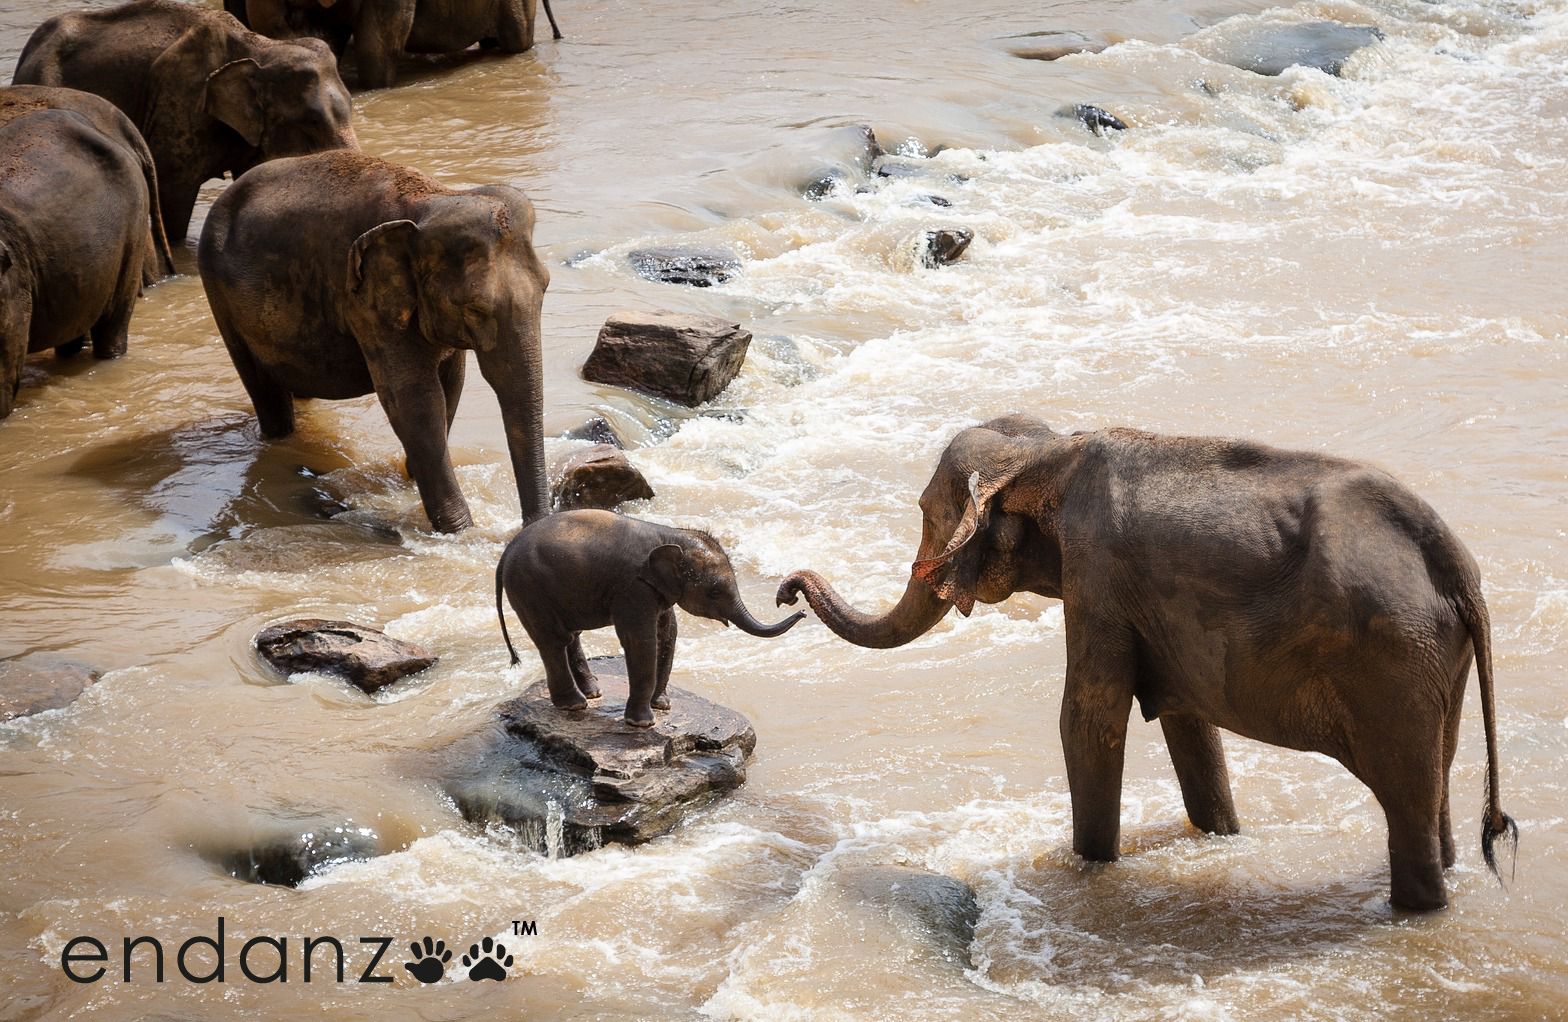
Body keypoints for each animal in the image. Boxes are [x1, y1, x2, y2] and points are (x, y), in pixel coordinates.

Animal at [197, 149, 550, 533]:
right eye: (475, 307)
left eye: (546, 286)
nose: (529, 527)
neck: (432, 200)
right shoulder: (365, 299)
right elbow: (414, 400)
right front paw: (459, 531)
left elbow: (451, 386)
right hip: (219, 296)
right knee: (265, 393)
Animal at [495, 509, 804, 726]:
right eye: (714, 592)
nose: (797, 605)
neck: (671, 535)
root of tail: (506, 553)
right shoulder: (634, 588)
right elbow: (640, 641)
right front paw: (642, 723)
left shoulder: (657, 589)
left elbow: (667, 633)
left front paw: (662, 706)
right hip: (529, 588)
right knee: (553, 640)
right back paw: (574, 705)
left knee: (569, 636)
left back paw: (592, 693)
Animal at [776, 414, 1517, 912]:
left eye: (928, 513)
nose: (786, 591)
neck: (1049, 451)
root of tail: (1456, 566)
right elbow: (1190, 725)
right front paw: (1221, 835)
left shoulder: (1097, 578)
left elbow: (1087, 719)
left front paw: (1089, 869)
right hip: (1432, 663)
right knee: (1436, 780)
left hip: (1394, 661)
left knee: (1406, 796)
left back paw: (1415, 908)